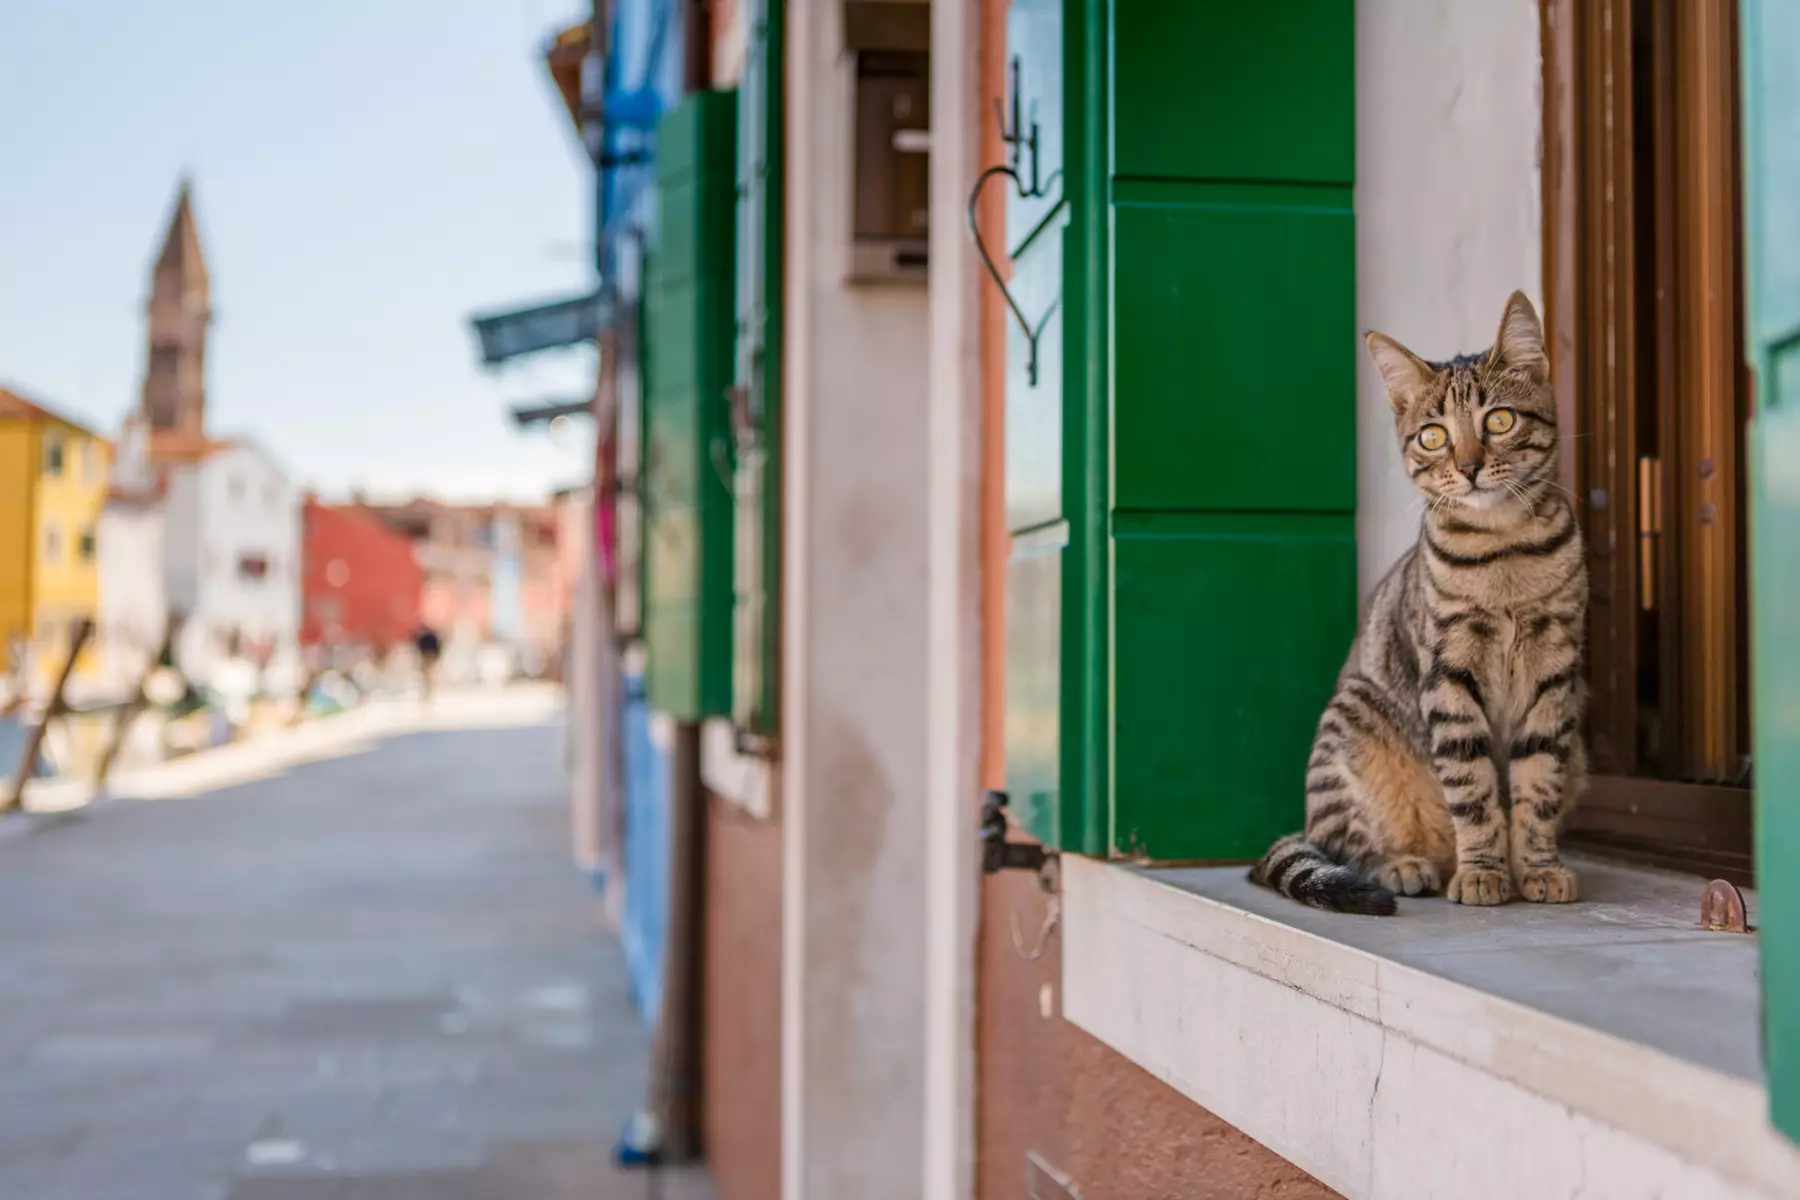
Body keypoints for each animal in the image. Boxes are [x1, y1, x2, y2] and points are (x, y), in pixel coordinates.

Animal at [1252, 295, 1591, 913]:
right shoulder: (1450, 672)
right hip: (1349, 726)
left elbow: (1537, 784)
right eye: (1433, 437)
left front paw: (1538, 867)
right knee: (1343, 843)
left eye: (1499, 421)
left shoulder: (1554, 671)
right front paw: (1482, 872)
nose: (1470, 466)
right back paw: (1407, 865)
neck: (1504, 550)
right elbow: (1472, 787)